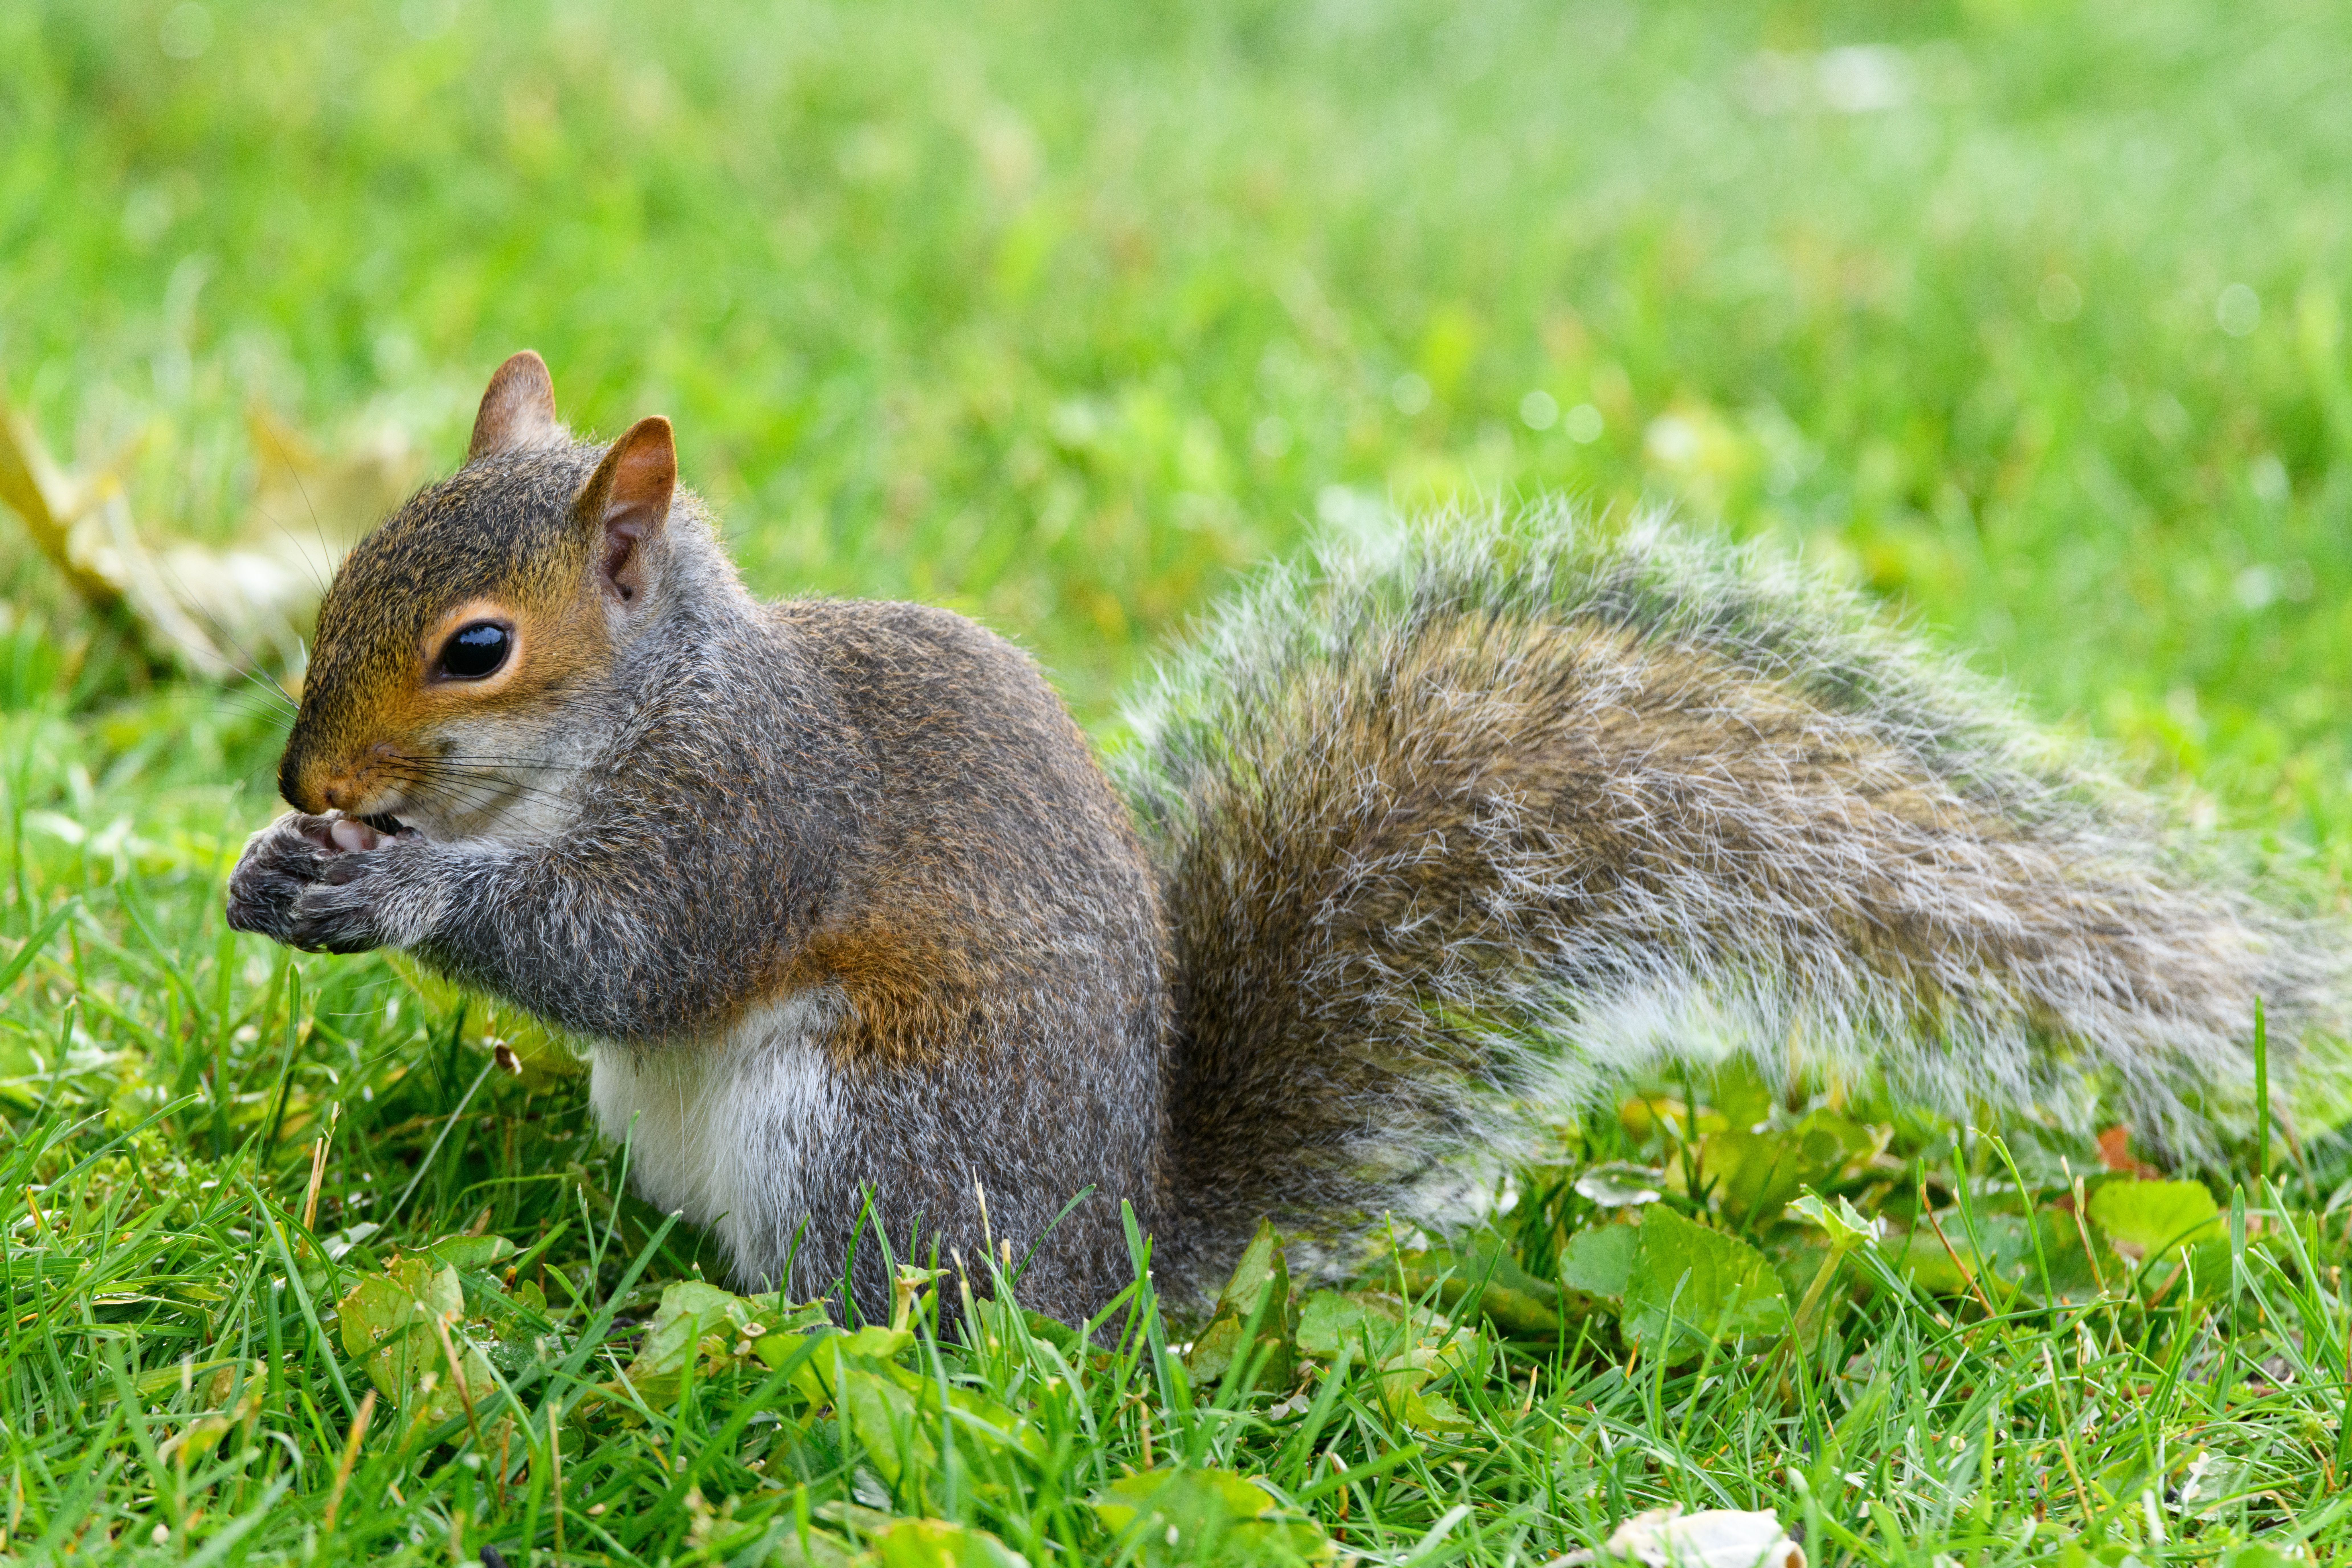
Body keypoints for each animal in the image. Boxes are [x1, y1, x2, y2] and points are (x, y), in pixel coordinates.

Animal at [228, 351, 2347, 1323]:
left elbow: (622, 951)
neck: (635, 720)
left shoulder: (751, 814)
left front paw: (397, 886)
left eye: (476, 647)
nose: (305, 781)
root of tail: (1112, 1267)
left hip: (866, 1127)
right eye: (338, 571)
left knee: (890, 1318)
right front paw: (281, 873)